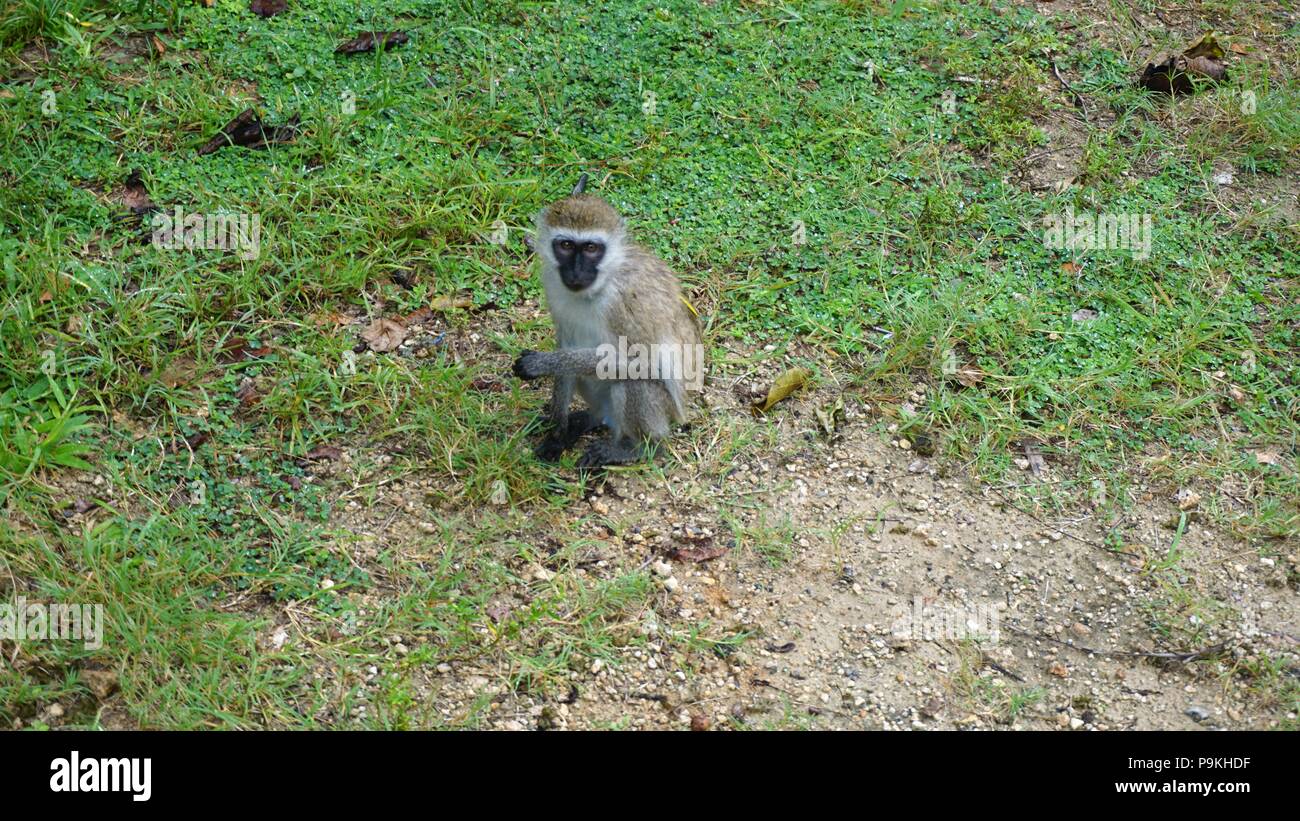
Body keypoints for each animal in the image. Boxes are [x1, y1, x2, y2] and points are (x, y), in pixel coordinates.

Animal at [512, 174, 703, 469]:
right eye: (566, 245)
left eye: (592, 248)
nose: (576, 271)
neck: (598, 287)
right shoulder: (552, 287)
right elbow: (565, 346)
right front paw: (558, 430)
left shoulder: (626, 303)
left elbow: (644, 363)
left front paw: (542, 363)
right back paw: (587, 419)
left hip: (663, 411)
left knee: (633, 380)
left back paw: (642, 448)